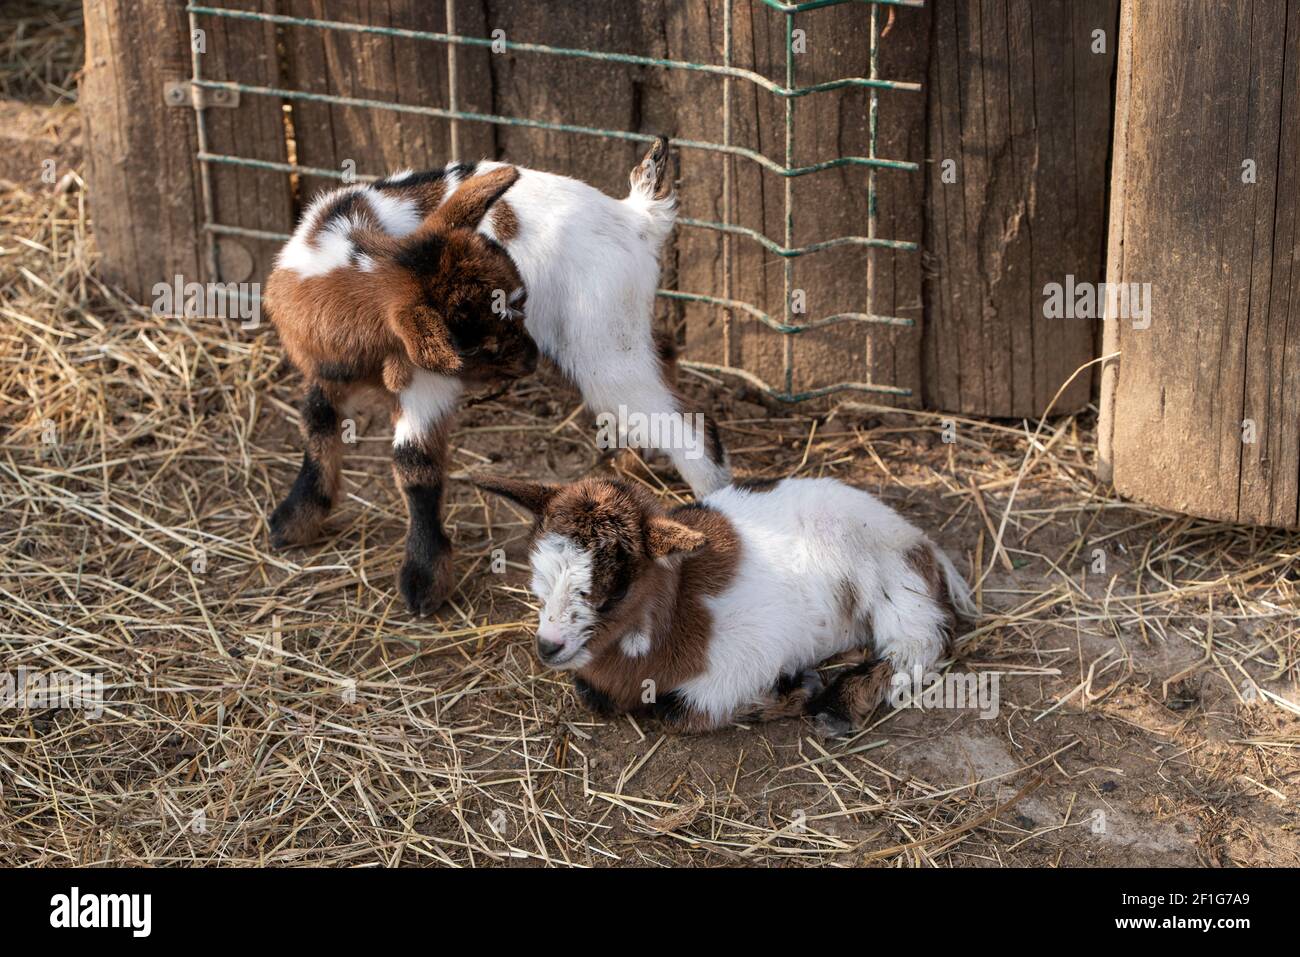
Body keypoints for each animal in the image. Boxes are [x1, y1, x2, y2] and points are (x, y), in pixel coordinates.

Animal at [265, 140, 730, 616]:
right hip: (624, 328)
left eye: (520, 301)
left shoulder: (426, 381)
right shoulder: (325, 372)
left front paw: (423, 582)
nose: (530, 360)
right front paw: (294, 522)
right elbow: (316, 426)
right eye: (475, 344)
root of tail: (636, 217)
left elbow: (415, 462)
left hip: (604, 344)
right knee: (665, 357)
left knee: (691, 428)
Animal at [473, 474, 977, 734]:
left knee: (919, 642)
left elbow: (678, 708)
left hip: (888, 577)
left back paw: (839, 704)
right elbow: (592, 693)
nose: (549, 647)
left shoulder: (759, 646)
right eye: (539, 575)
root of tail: (921, 541)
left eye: (614, 589)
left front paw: (795, 689)